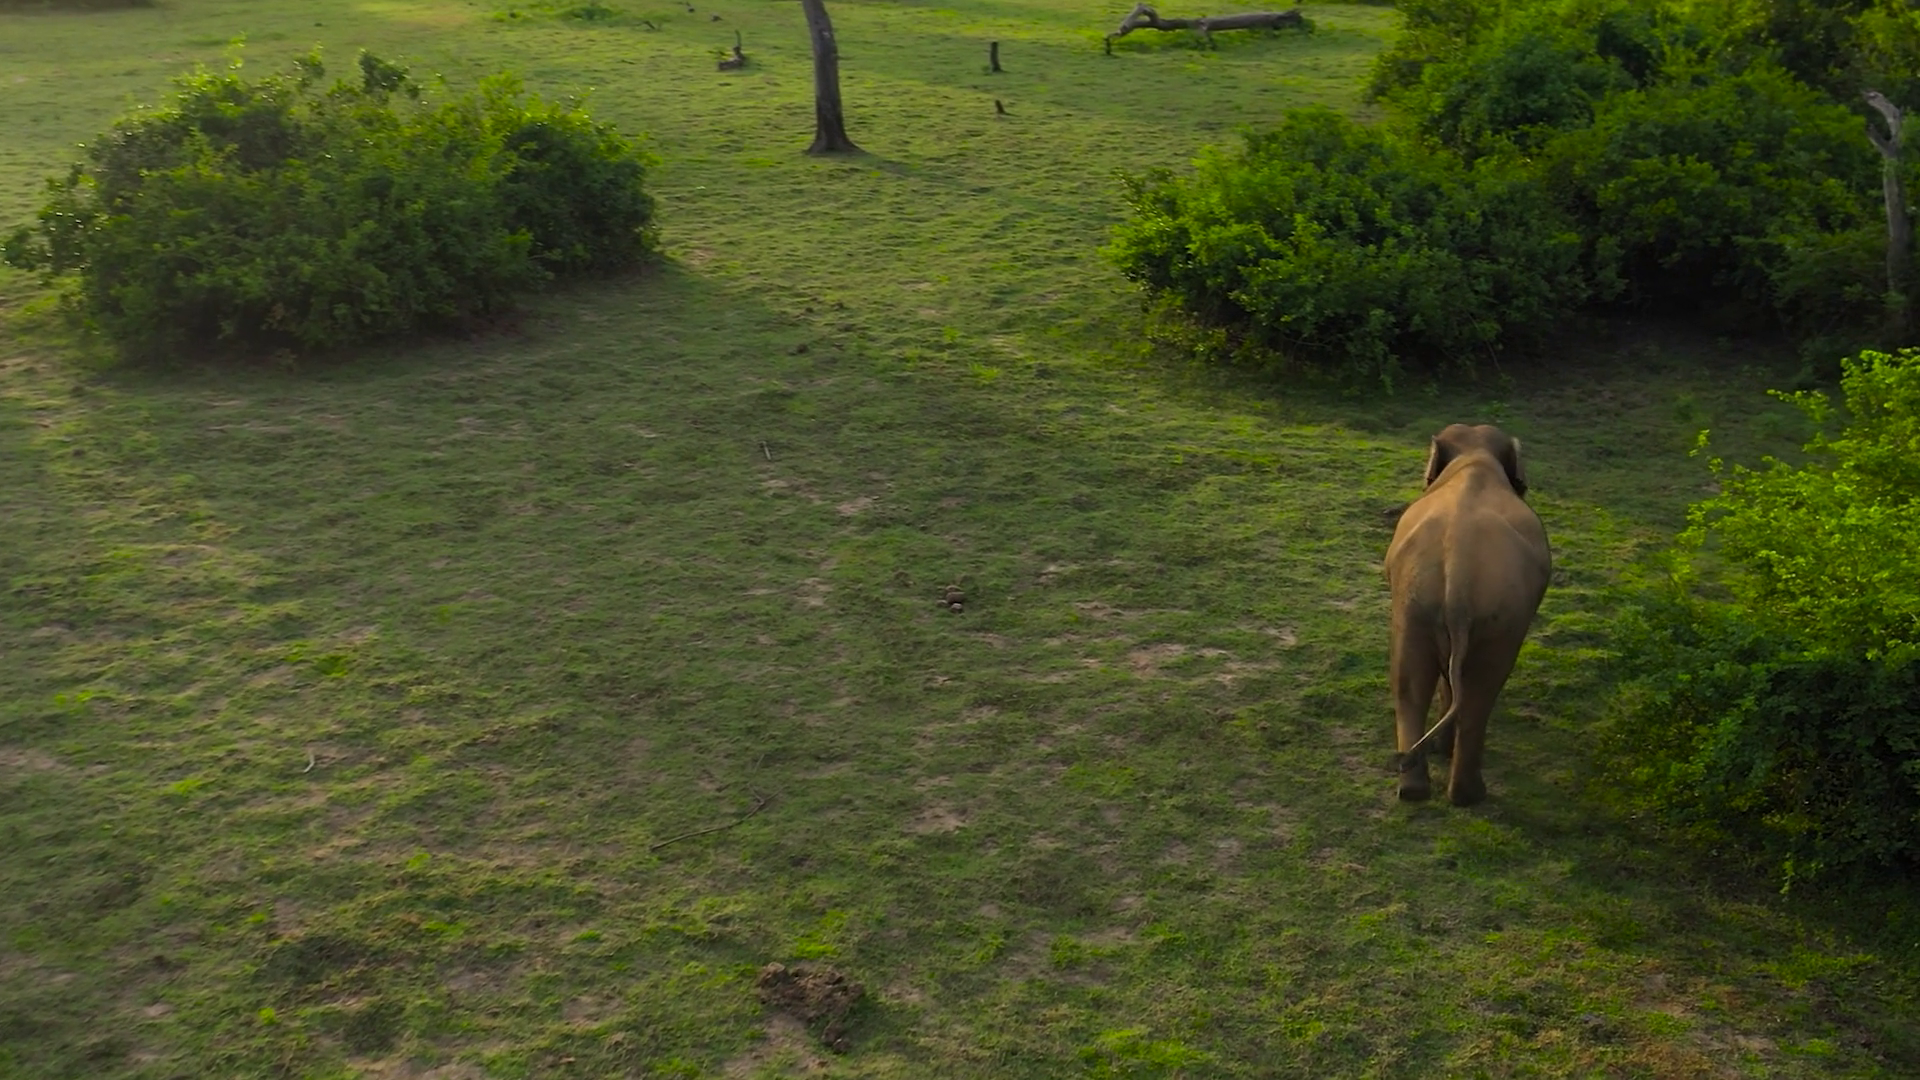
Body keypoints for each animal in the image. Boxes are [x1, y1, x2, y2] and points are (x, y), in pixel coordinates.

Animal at [1384, 424, 1551, 806]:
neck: (1475, 456)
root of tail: (1458, 574)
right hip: (1501, 620)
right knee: (1481, 692)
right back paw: (1468, 794)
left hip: (1415, 605)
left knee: (1409, 680)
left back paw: (1415, 788)